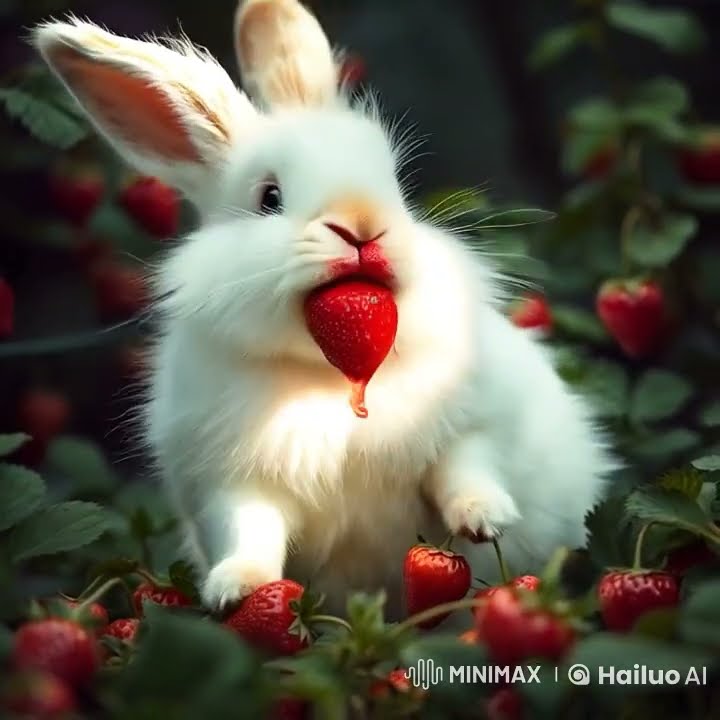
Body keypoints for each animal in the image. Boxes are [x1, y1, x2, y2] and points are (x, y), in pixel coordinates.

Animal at [33, 0, 618, 619]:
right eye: (269, 198)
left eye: (397, 189)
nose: (363, 226)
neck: (333, 378)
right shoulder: (230, 484)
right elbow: (248, 531)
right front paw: (236, 587)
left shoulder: (475, 425)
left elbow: (468, 470)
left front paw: (486, 519)